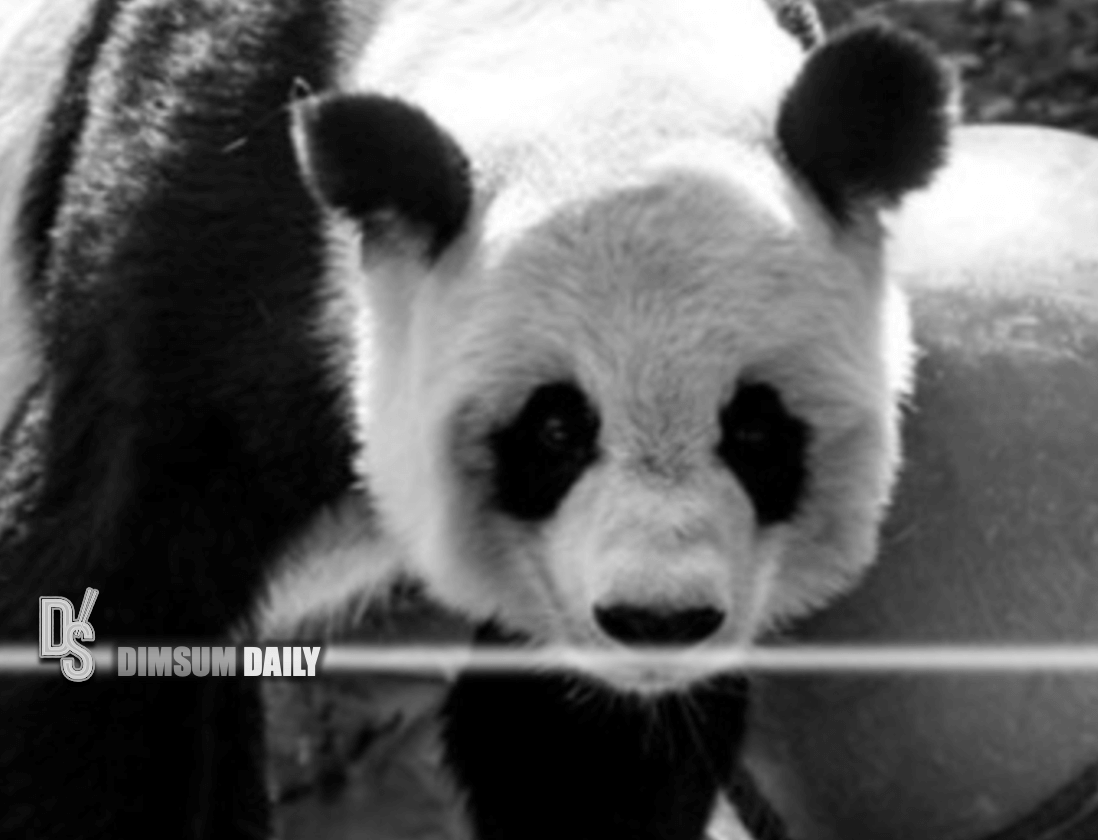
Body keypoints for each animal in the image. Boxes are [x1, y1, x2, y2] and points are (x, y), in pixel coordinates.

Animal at [0, 0, 951, 838]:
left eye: (756, 430)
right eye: (556, 429)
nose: (658, 621)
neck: (578, 48)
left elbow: (569, 742)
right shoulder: (199, 241)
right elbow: (104, 590)